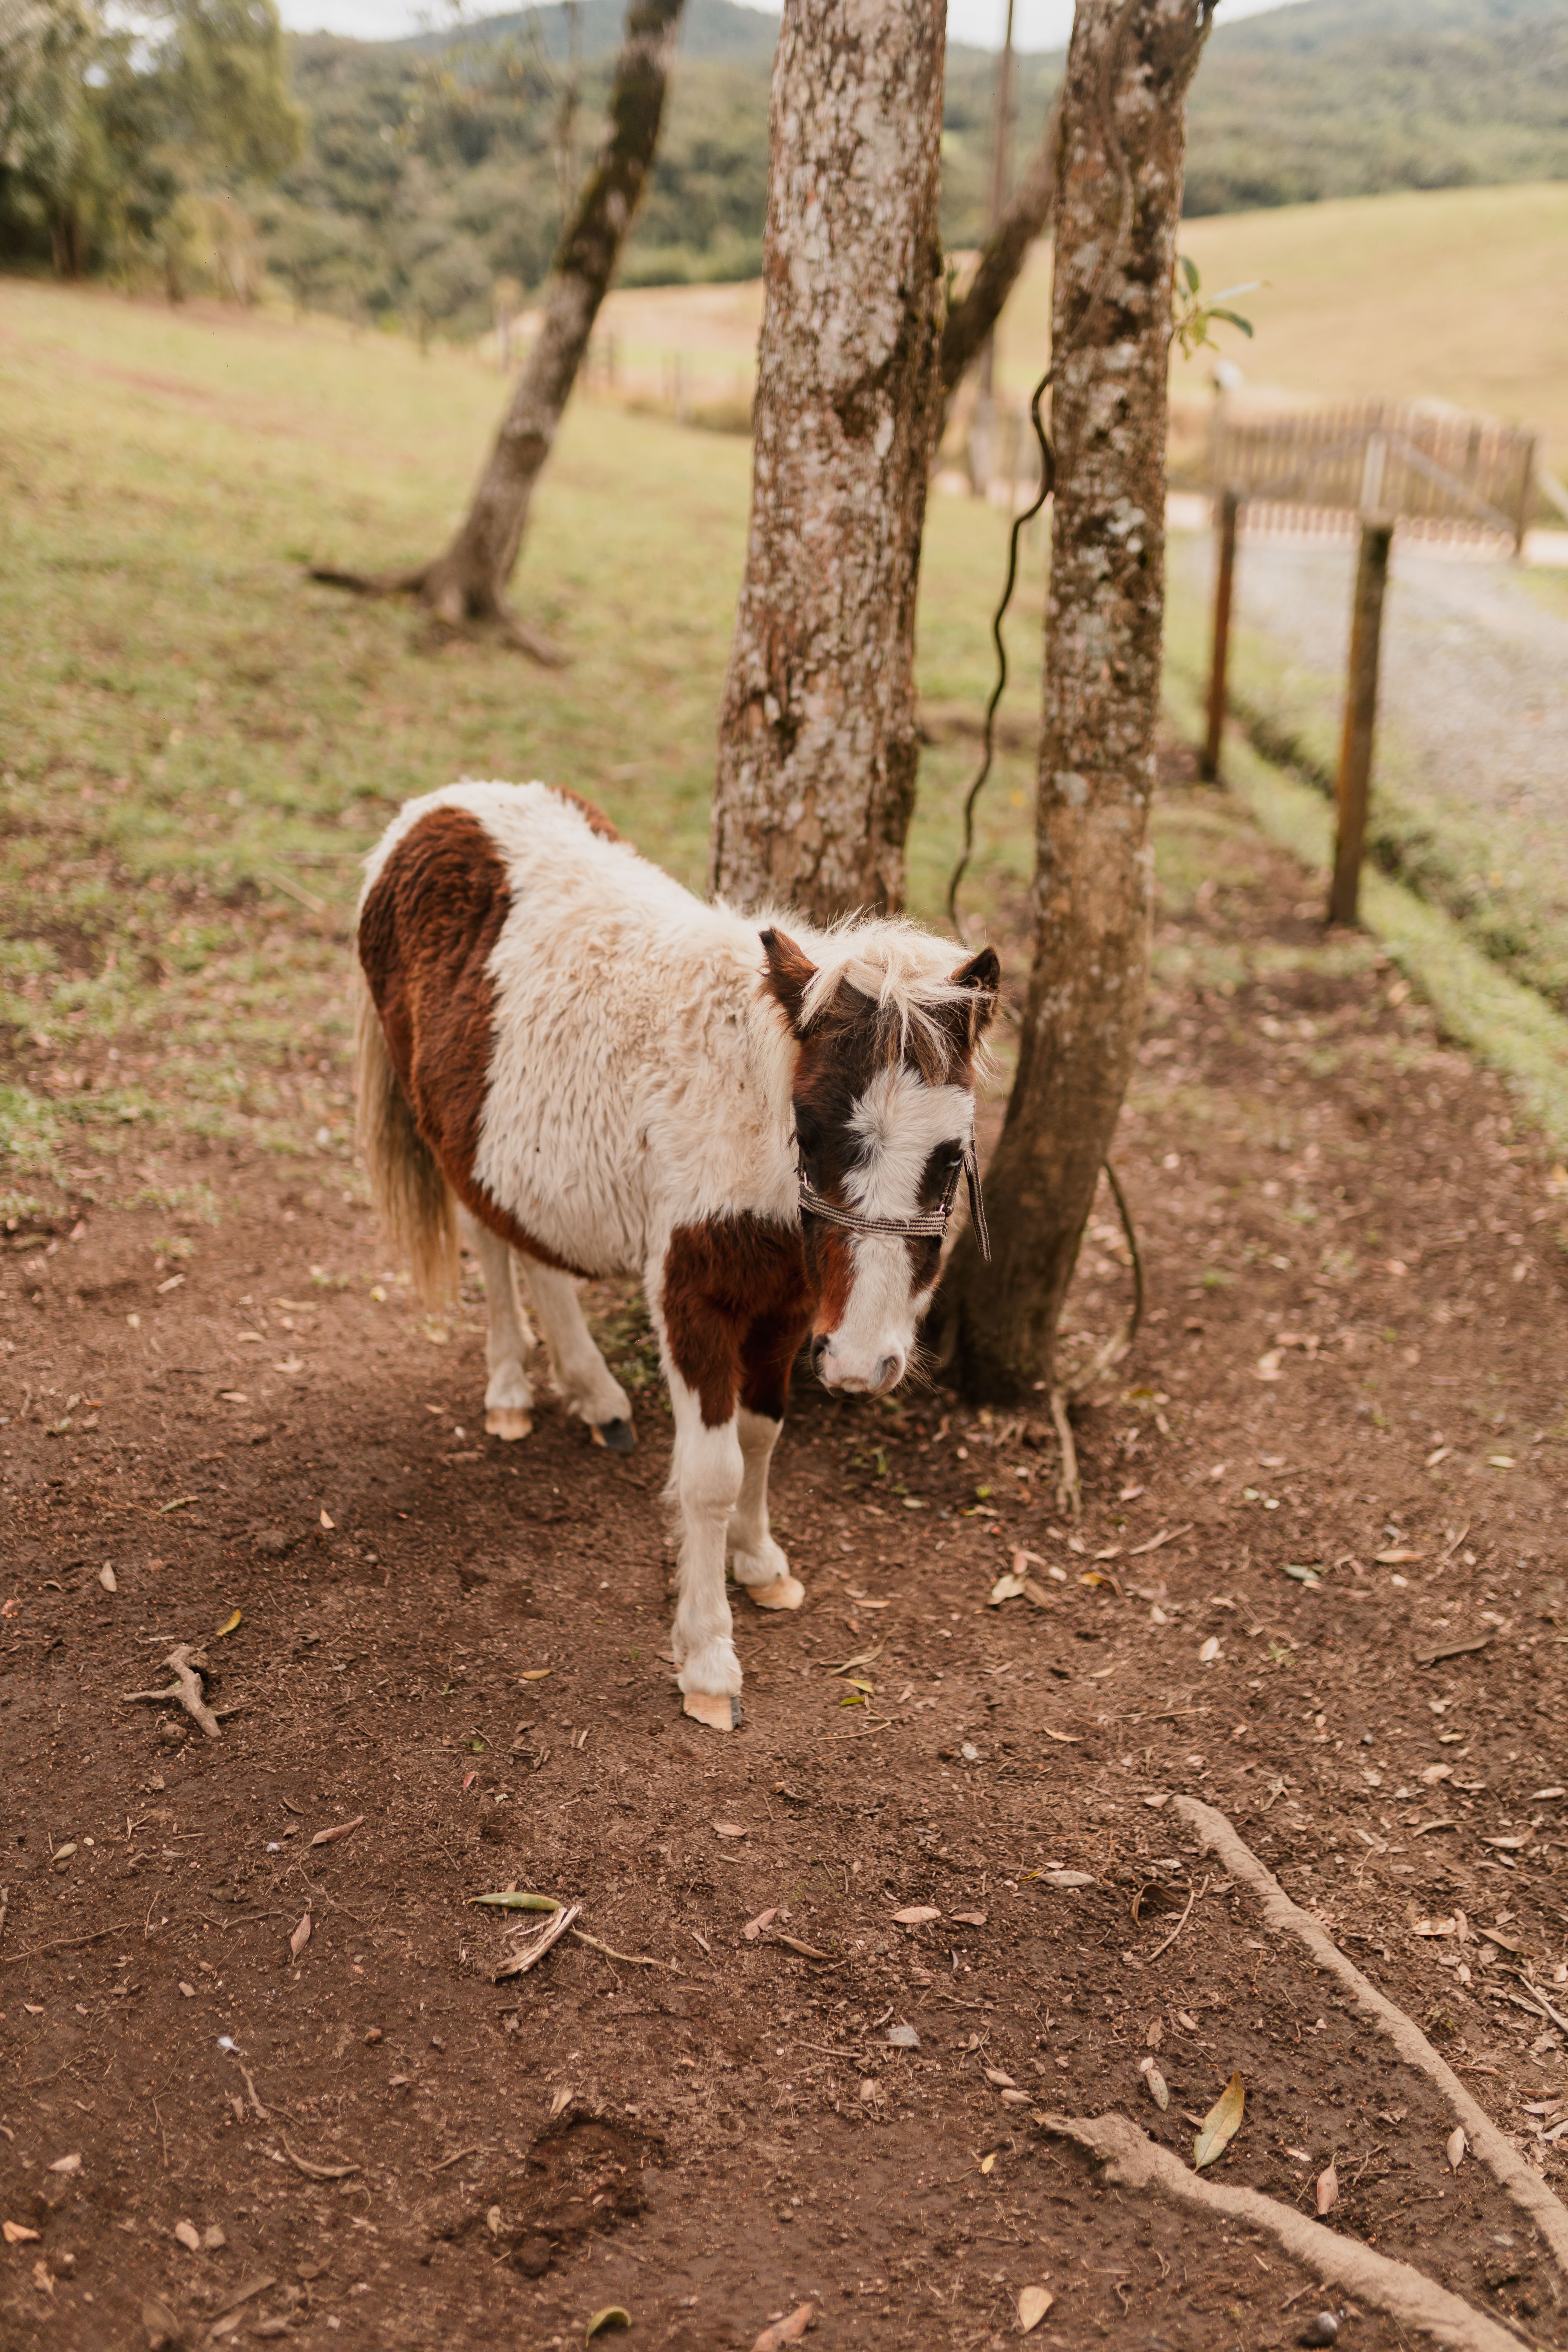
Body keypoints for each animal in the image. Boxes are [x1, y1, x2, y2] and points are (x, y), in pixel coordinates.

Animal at [355, 780, 998, 1730]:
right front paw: (706, 1658)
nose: (861, 1364)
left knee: (536, 1246)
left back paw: (596, 1397)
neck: (746, 1123)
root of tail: (440, 806)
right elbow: (711, 1474)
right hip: (446, 1128)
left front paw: (760, 1564)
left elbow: (763, 1437)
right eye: (810, 1132)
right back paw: (510, 1388)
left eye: (950, 1157)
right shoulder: (694, 1298)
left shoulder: (786, 1307)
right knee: (491, 1240)